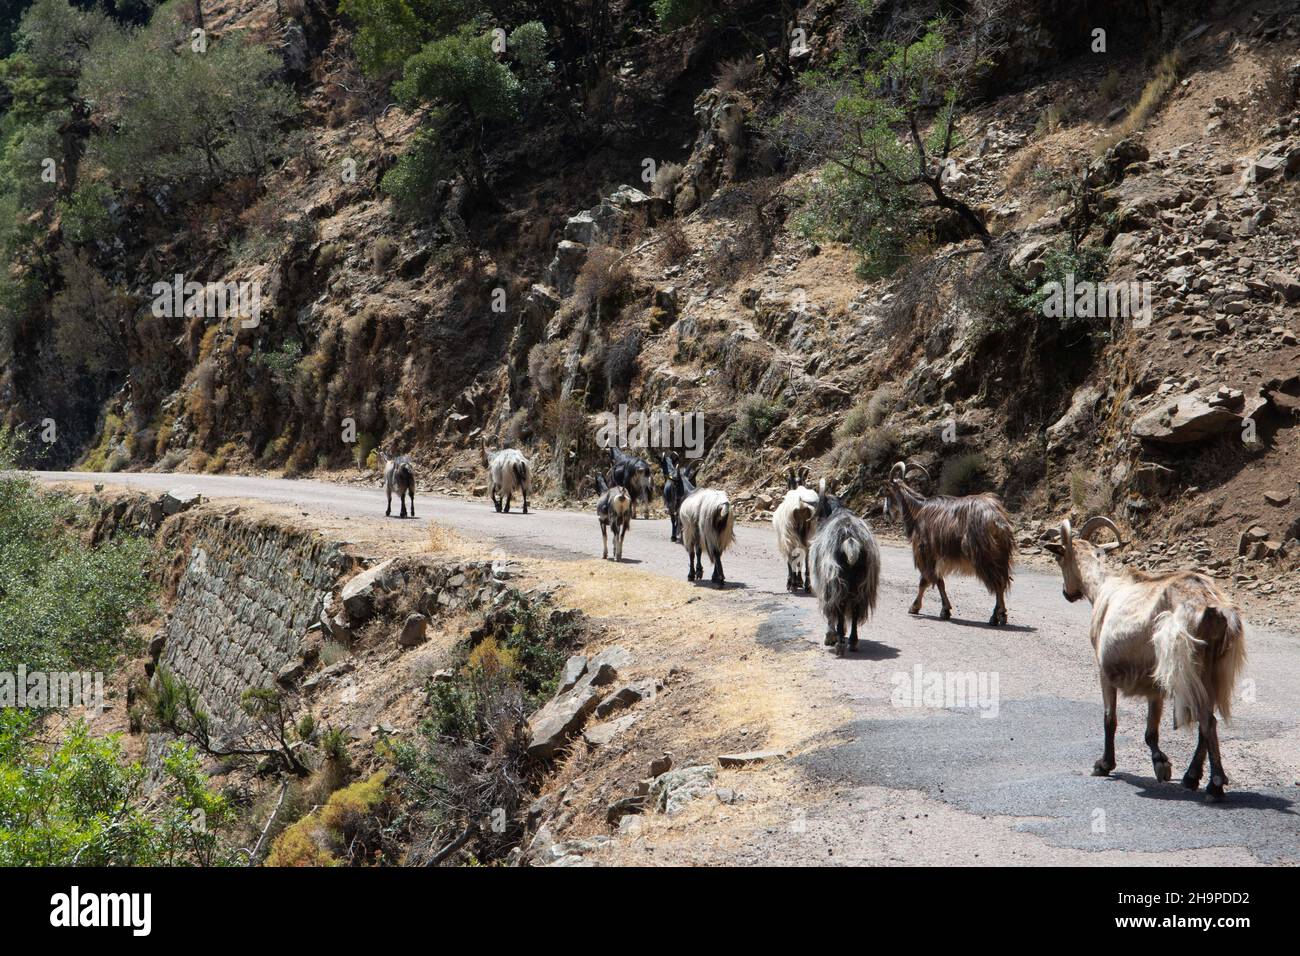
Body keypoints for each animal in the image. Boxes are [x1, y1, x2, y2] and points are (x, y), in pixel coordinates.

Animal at [808, 487, 881, 656]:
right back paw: (852, 641)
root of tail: (850, 539)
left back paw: (839, 641)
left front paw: (829, 636)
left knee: (838, 606)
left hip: (835, 580)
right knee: (855, 609)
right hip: (863, 584)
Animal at [882, 460, 1015, 626]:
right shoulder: (936, 557)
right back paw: (999, 615)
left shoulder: (926, 552)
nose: (886, 514)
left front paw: (916, 607)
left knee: (997, 583)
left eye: (886, 491)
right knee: (1002, 582)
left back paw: (997, 616)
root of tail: (996, 519)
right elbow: (938, 582)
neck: (918, 512)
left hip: (983, 556)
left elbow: (926, 581)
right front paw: (944, 610)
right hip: (1000, 556)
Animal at [1043, 516, 1247, 801]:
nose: (1067, 593)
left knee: (1206, 719)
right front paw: (1161, 763)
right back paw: (1192, 777)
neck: (1103, 589)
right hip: (1213, 667)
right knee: (1207, 719)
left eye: (1059, 559)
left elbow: (1110, 718)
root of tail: (1214, 607)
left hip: (1188, 665)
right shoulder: (1153, 682)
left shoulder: (1105, 671)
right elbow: (1151, 729)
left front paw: (1104, 764)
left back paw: (1215, 784)